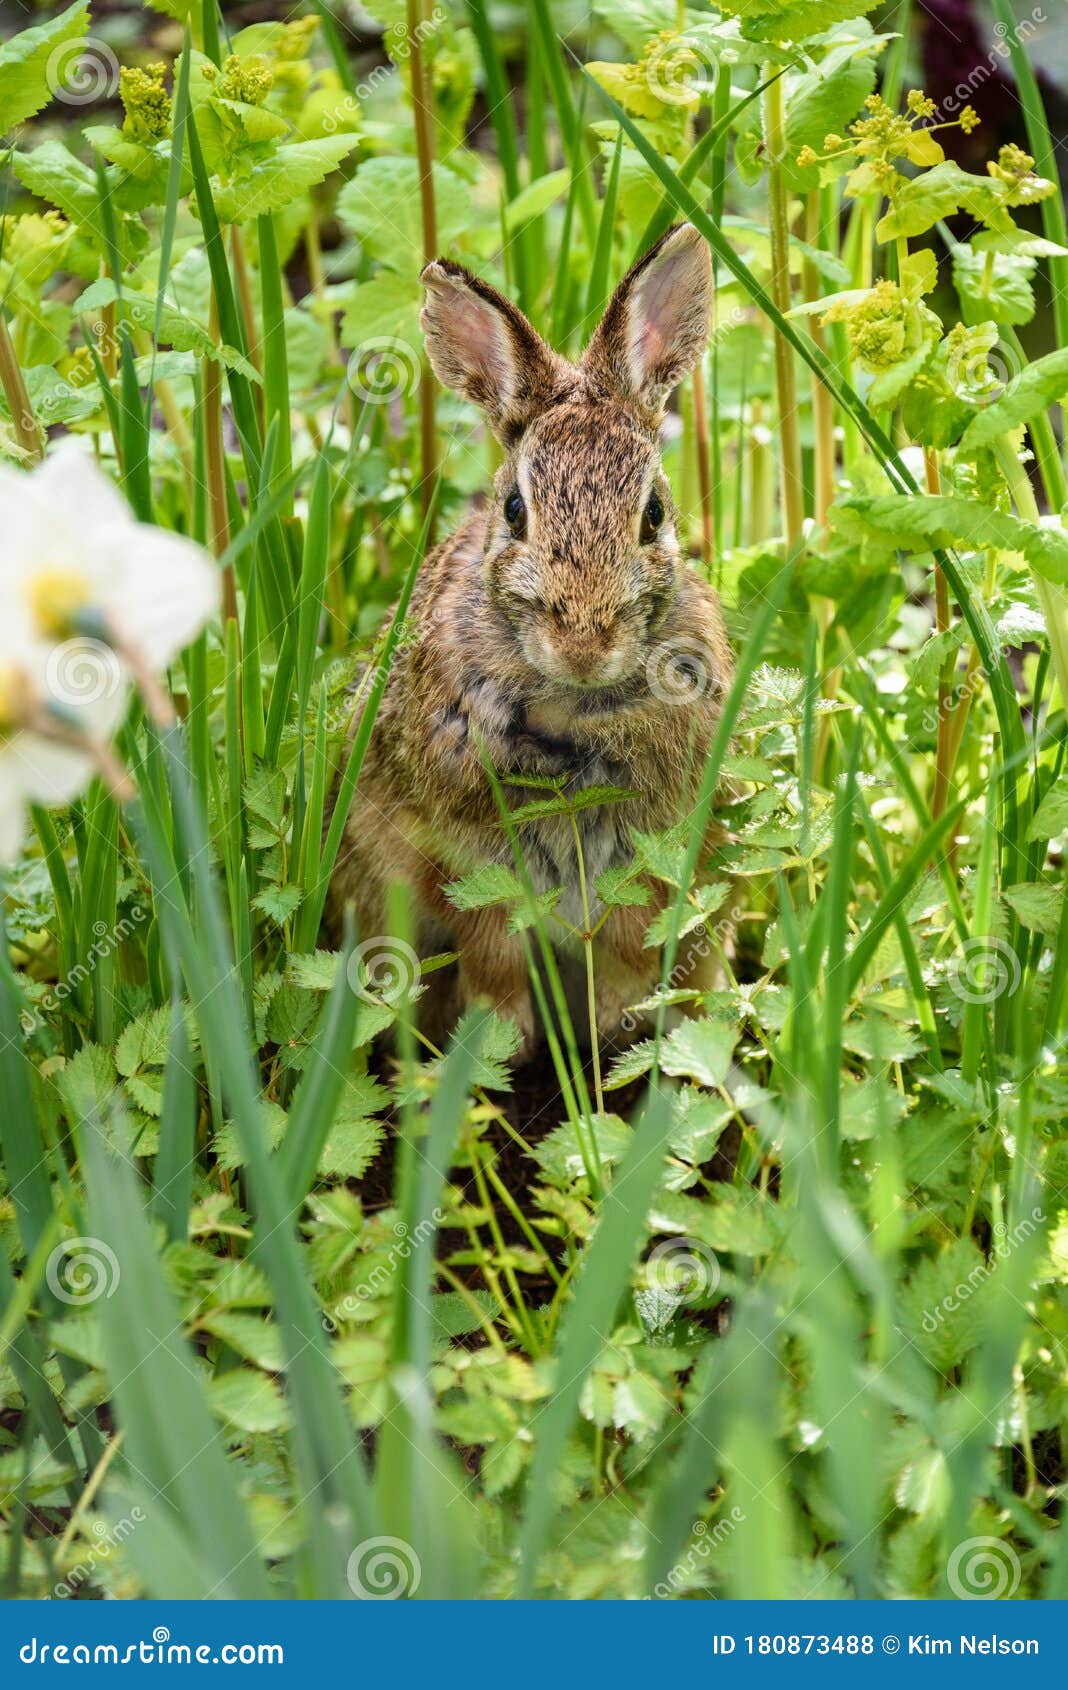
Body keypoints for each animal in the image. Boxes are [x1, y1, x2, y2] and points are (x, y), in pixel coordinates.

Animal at [326, 224, 732, 1059]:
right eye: (513, 511)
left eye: (653, 514)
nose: (584, 644)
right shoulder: (465, 858)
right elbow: (494, 951)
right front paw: (500, 1037)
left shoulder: (651, 859)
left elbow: (631, 949)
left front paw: (614, 1033)